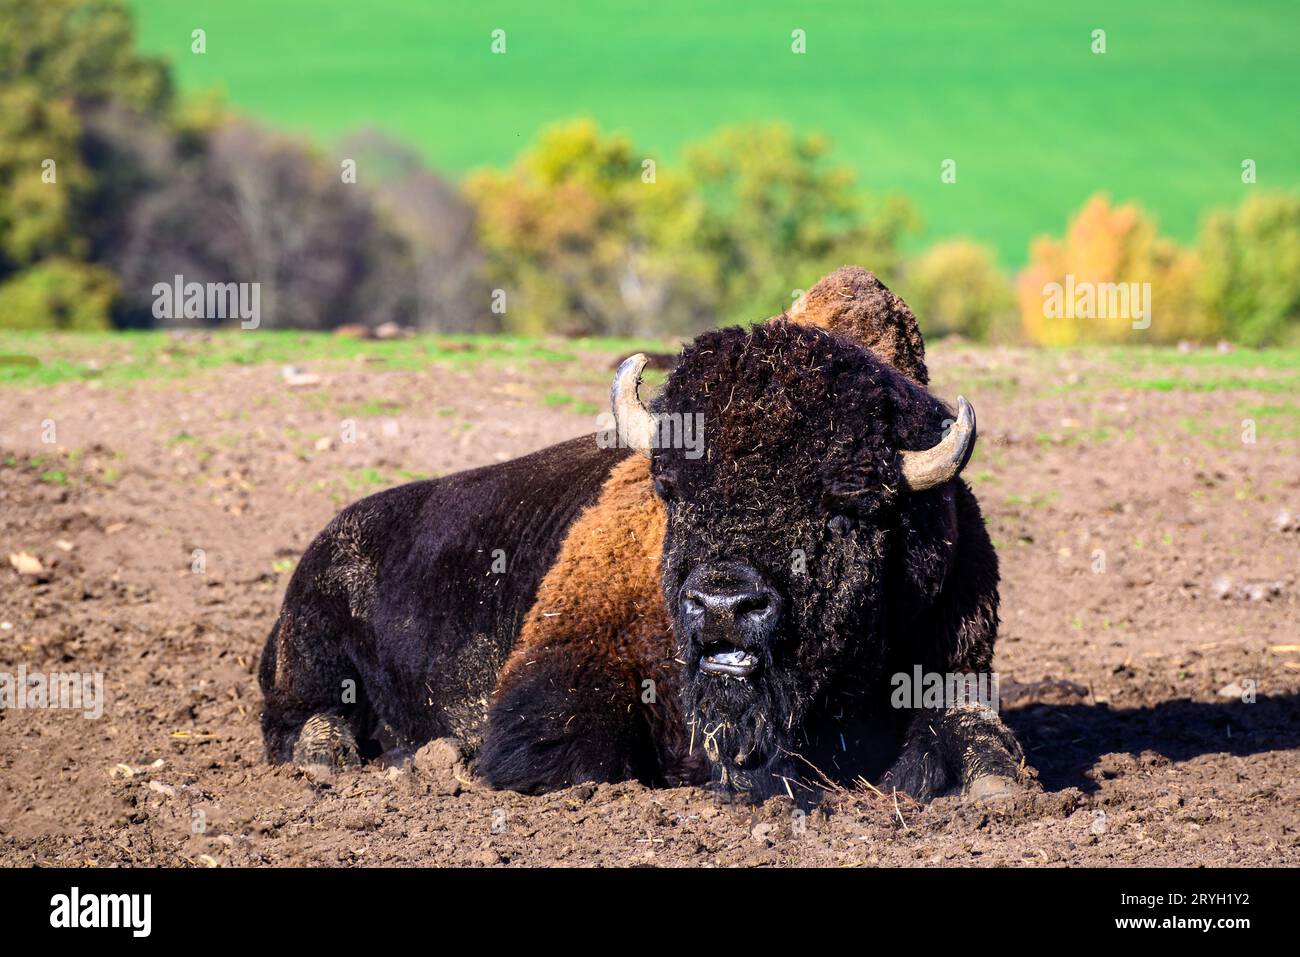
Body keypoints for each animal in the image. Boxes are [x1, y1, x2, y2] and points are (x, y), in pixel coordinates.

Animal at [260, 267, 1026, 802]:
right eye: (675, 495)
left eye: (845, 510)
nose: (723, 605)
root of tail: (330, 539)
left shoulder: (958, 660)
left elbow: (975, 741)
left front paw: (987, 783)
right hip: (311, 657)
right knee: (303, 720)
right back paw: (346, 758)